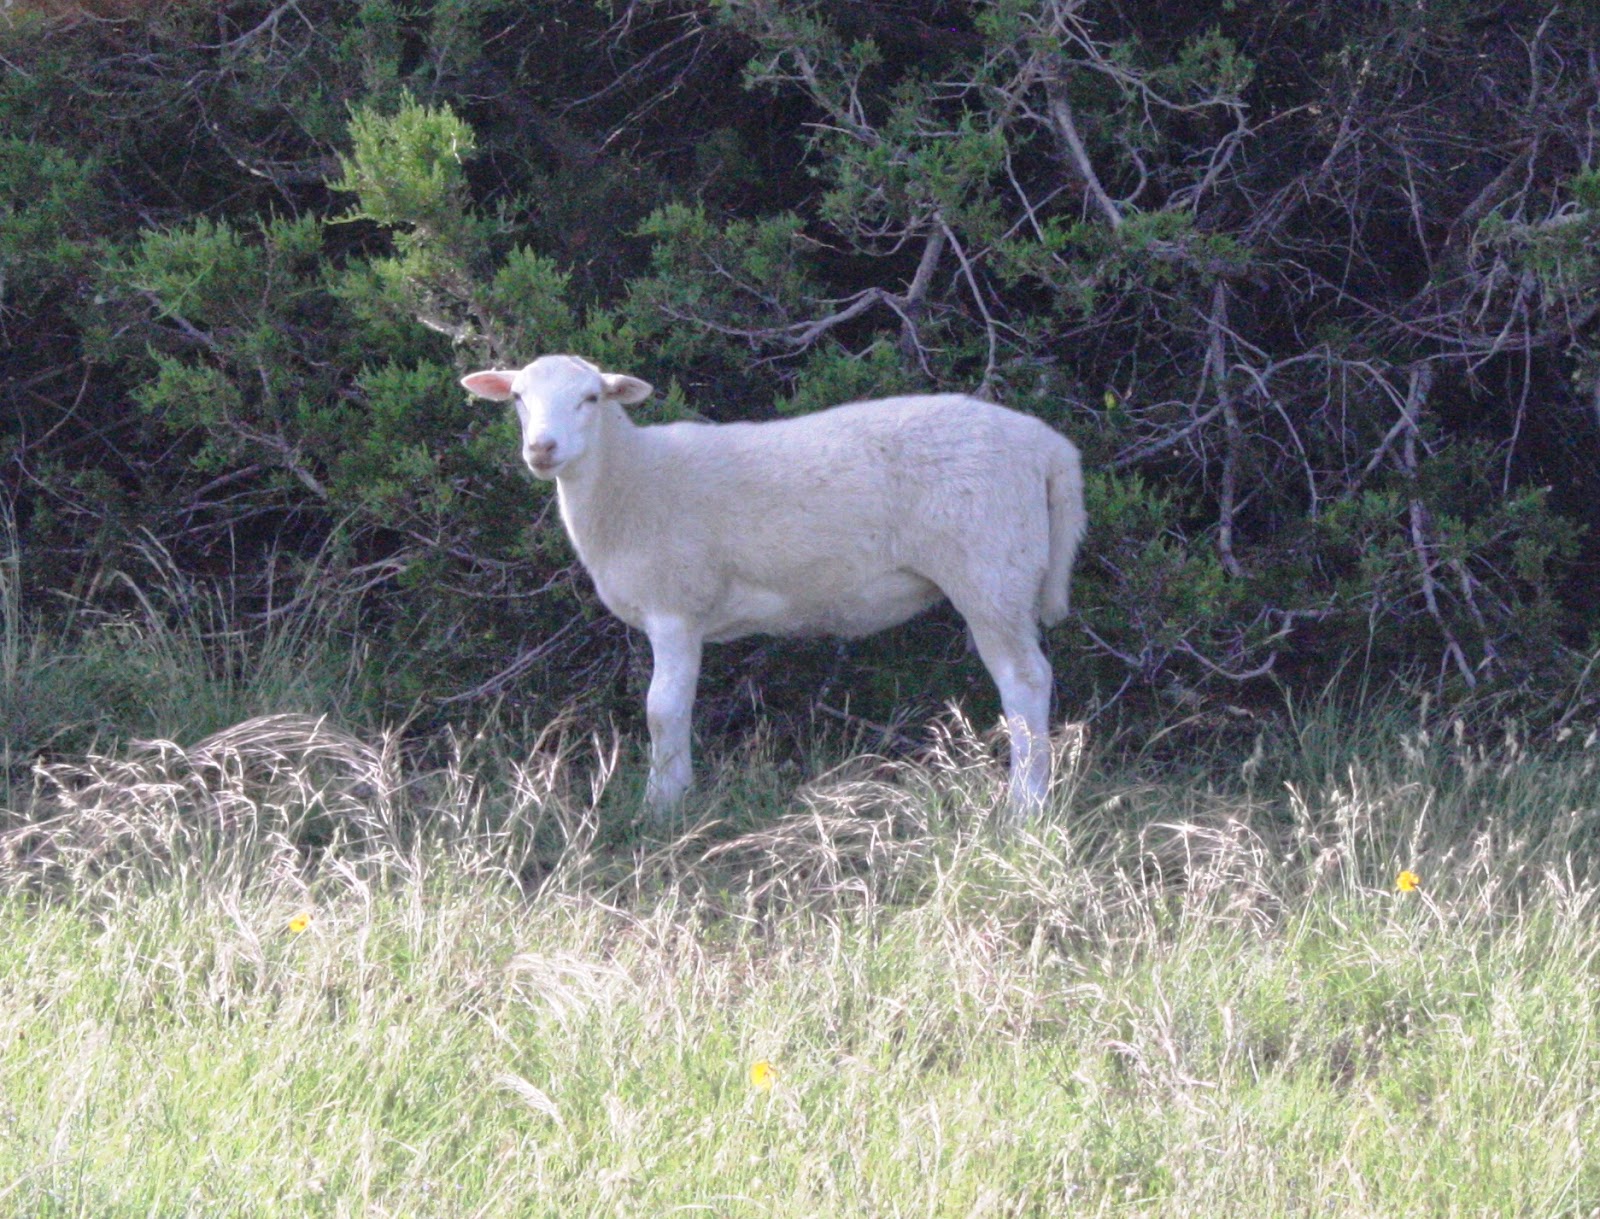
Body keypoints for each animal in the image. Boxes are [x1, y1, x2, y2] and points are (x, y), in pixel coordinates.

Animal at [461, 354, 1086, 819]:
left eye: (591, 399)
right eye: (518, 398)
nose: (542, 449)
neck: (630, 478)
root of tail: (1049, 448)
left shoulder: (676, 607)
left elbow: (663, 709)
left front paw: (660, 807)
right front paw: (676, 796)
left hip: (990, 568)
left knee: (1026, 682)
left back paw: (1025, 807)